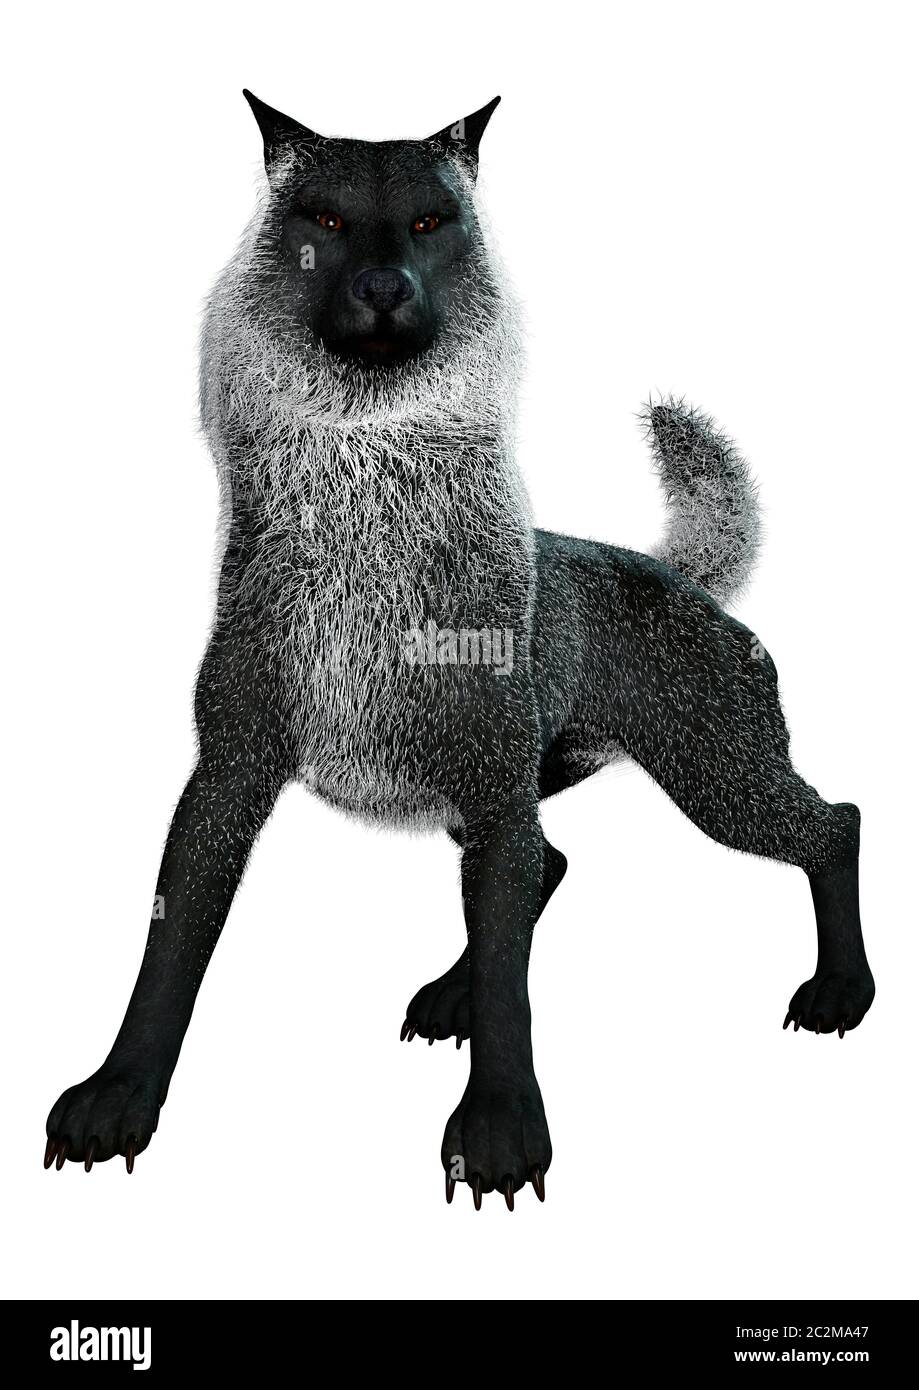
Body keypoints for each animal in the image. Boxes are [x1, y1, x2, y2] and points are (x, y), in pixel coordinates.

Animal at [45, 93, 874, 1207]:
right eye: (326, 219)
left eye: (433, 223)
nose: (383, 289)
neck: (368, 526)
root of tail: (689, 579)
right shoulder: (225, 781)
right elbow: (168, 957)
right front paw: (116, 1100)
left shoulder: (489, 790)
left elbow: (511, 991)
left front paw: (499, 1134)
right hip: (529, 803)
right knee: (552, 865)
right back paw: (451, 994)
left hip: (716, 784)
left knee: (834, 826)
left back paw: (842, 992)